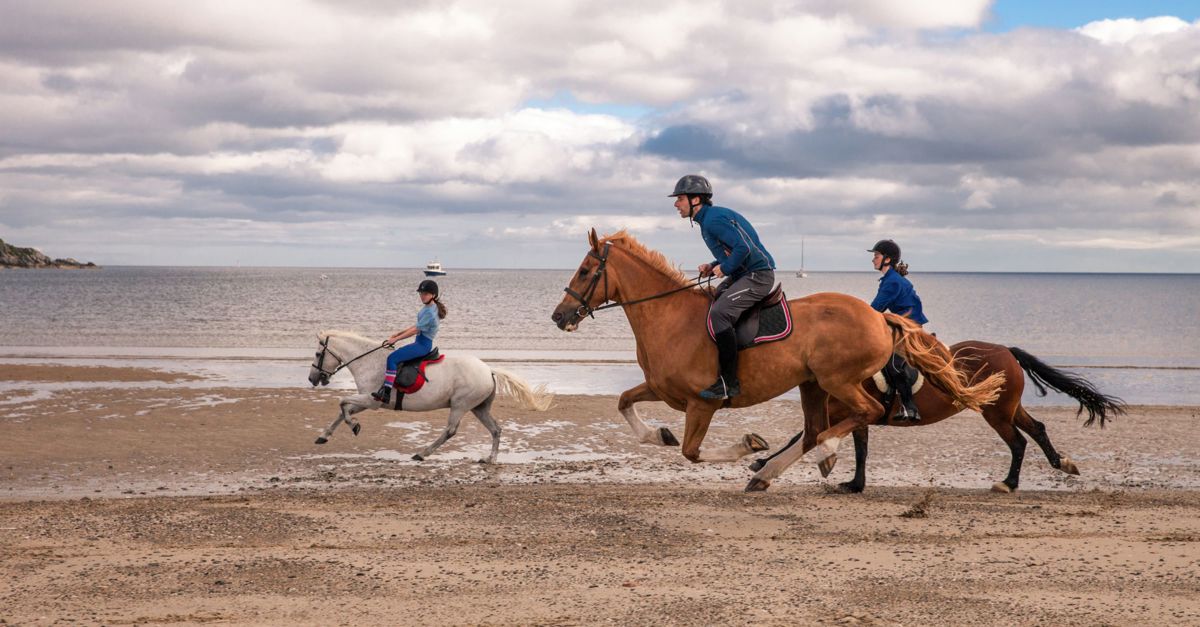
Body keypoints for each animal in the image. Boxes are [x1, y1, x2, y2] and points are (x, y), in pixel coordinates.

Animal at [307, 330, 553, 464]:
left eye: (319, 354)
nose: (312, 378)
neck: (369, 361)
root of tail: (489, 370)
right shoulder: (366, 401)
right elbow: (342, 411)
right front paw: (324, 436)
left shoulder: (372, 400)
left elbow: (342, 404)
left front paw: (354, 426)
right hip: (479, 408)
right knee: (496, 429)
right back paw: (490, 459)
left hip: (460, 405)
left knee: (451, 431)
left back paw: (422, 453)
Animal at [550, 229, 1005, 483]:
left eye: (586, 271)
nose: (559, 316)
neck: (669, 317)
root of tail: (879, 317)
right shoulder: (663, 390)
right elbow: (624, 401)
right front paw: (658, 434)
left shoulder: (701, 403)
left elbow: (691, 452)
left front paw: (747, 445)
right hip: (812, 385)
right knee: (813, 428)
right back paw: (767, 475)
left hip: (837, 381)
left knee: (863, 414)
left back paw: (824, 453)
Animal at [749, 341, 1126, 492]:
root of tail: (1006, 350)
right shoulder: (855, 417)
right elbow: (852, 448)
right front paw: (855, 484)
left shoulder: (852, 414)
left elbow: (813, 437)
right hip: (1007, 407)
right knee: (1036, 428)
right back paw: (1062, 463)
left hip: (996, 412)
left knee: (1018, 441)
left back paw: (1008, 483)